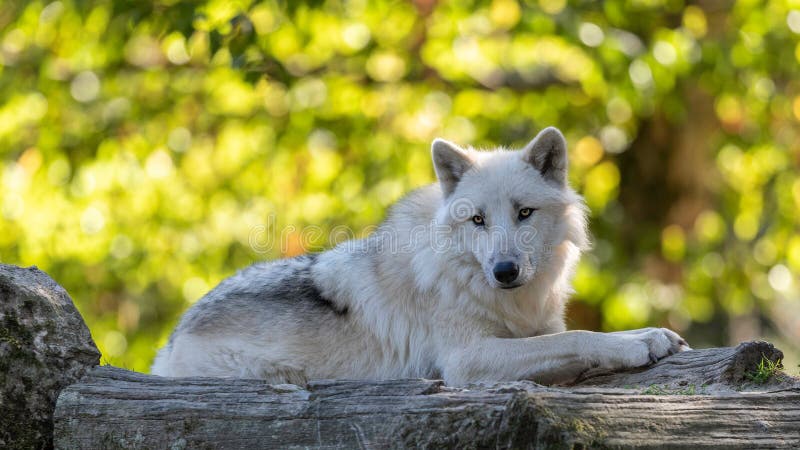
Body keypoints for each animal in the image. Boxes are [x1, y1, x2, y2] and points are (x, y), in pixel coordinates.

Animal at [151, 127, 690, 385]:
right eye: (477, 220)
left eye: (524, 213)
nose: (504, 270)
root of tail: (170, 341)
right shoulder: (465, 361)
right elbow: (577, 337)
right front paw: (632, 347)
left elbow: (575, 335)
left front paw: (651, 336)